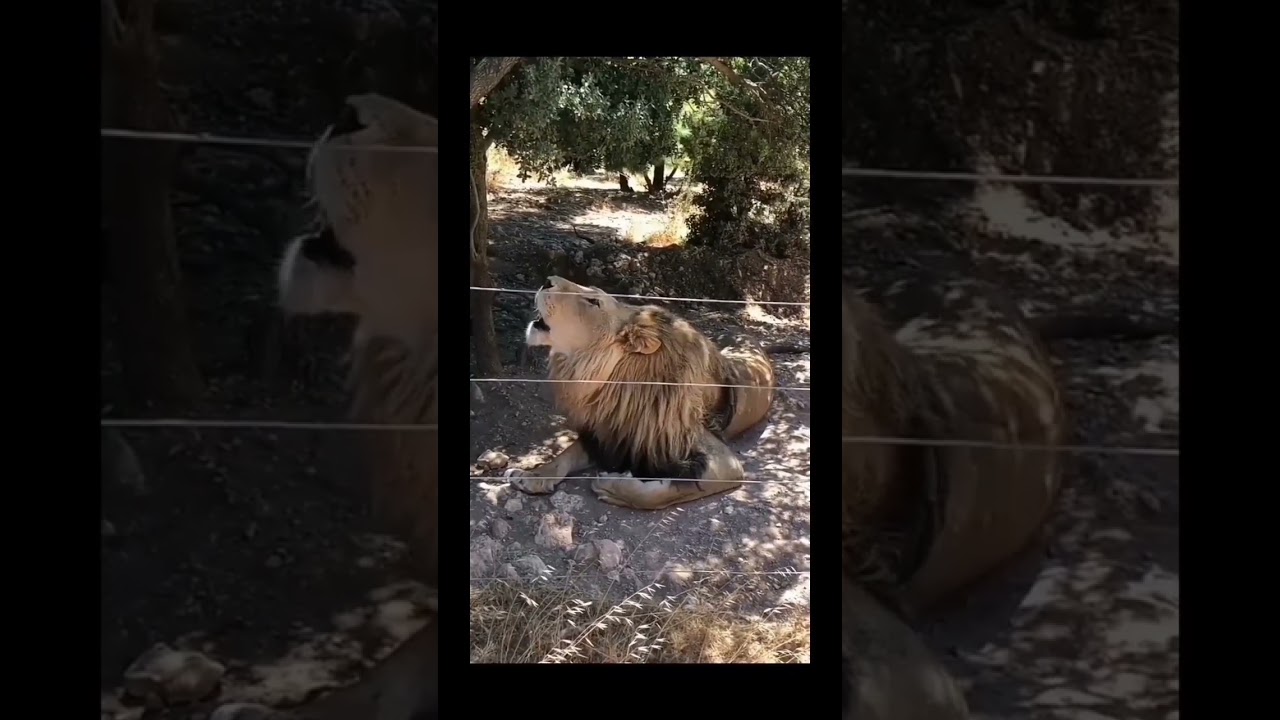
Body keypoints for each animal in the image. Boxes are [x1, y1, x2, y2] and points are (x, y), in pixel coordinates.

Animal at [505, 275, 785, 510]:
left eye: (594, 301)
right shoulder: (611, 433)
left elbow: (662, 493)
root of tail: (746, 334)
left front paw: (612, 487)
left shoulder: (725, 462)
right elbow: (566, 454)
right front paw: (532, 475)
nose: (547, 280)